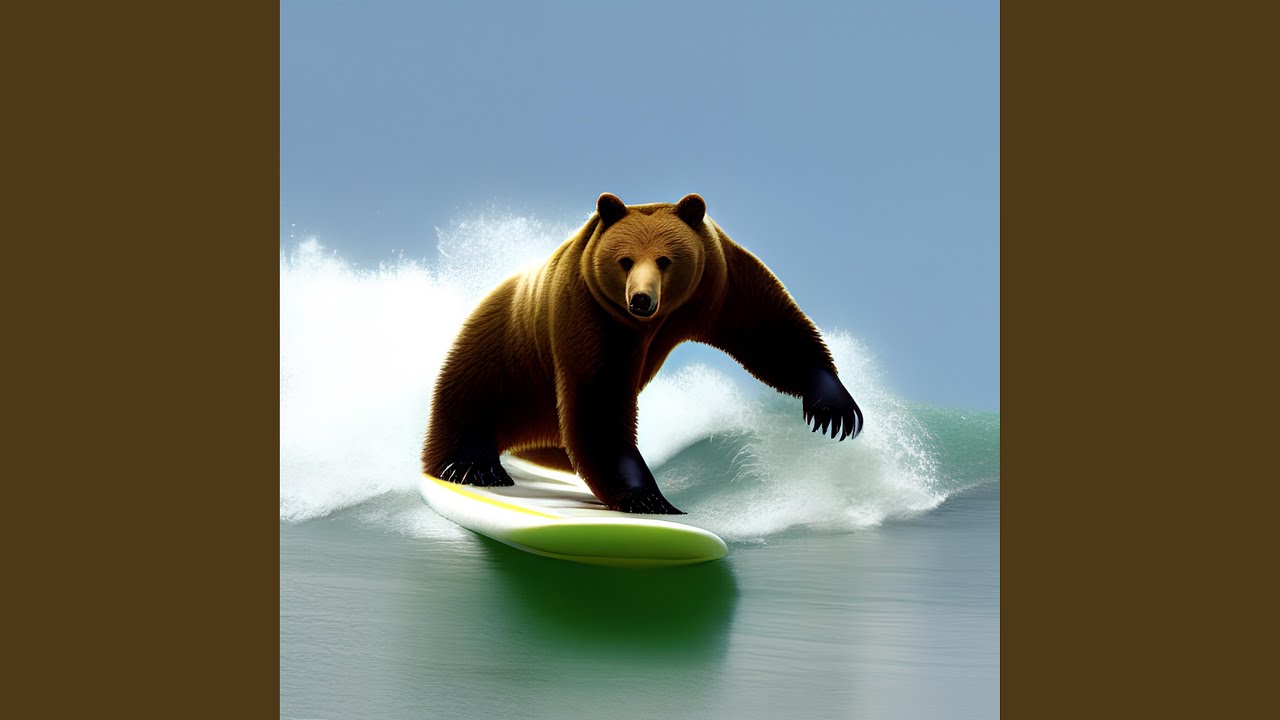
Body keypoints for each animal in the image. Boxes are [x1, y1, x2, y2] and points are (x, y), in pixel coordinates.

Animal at [422, 193, 863, 514]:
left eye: (665, 259)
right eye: (625, 260)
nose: (641, 299)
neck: (661, 319)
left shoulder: (717, 282)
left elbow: (770, 330)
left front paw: (833, 407)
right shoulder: (593, 315)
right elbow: (599, 402)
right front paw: (650, 496)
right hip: (505, 356)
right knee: (468, 403)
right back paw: (472, 467)